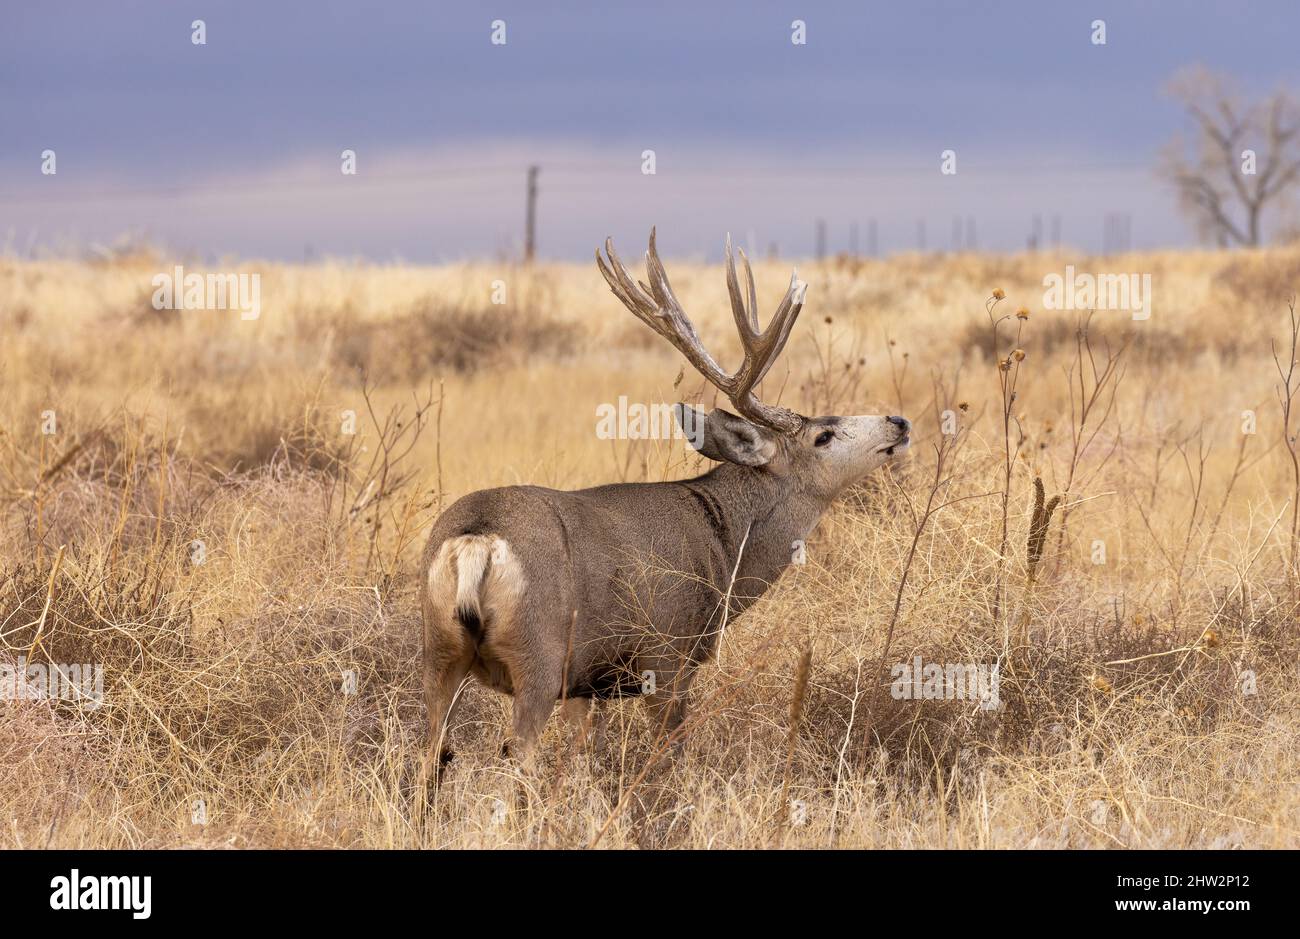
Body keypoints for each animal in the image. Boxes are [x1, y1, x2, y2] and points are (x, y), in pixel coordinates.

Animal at [419, 229, 910, 779]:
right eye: (823, 436)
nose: (898, 421)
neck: (723, 544)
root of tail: (475, 540)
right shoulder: (667, 655)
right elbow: (669, 752)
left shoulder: (585, 681)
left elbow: (585, 752)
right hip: (537, 653)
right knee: (518, 752)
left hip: (440, 652)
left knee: (427, 753)